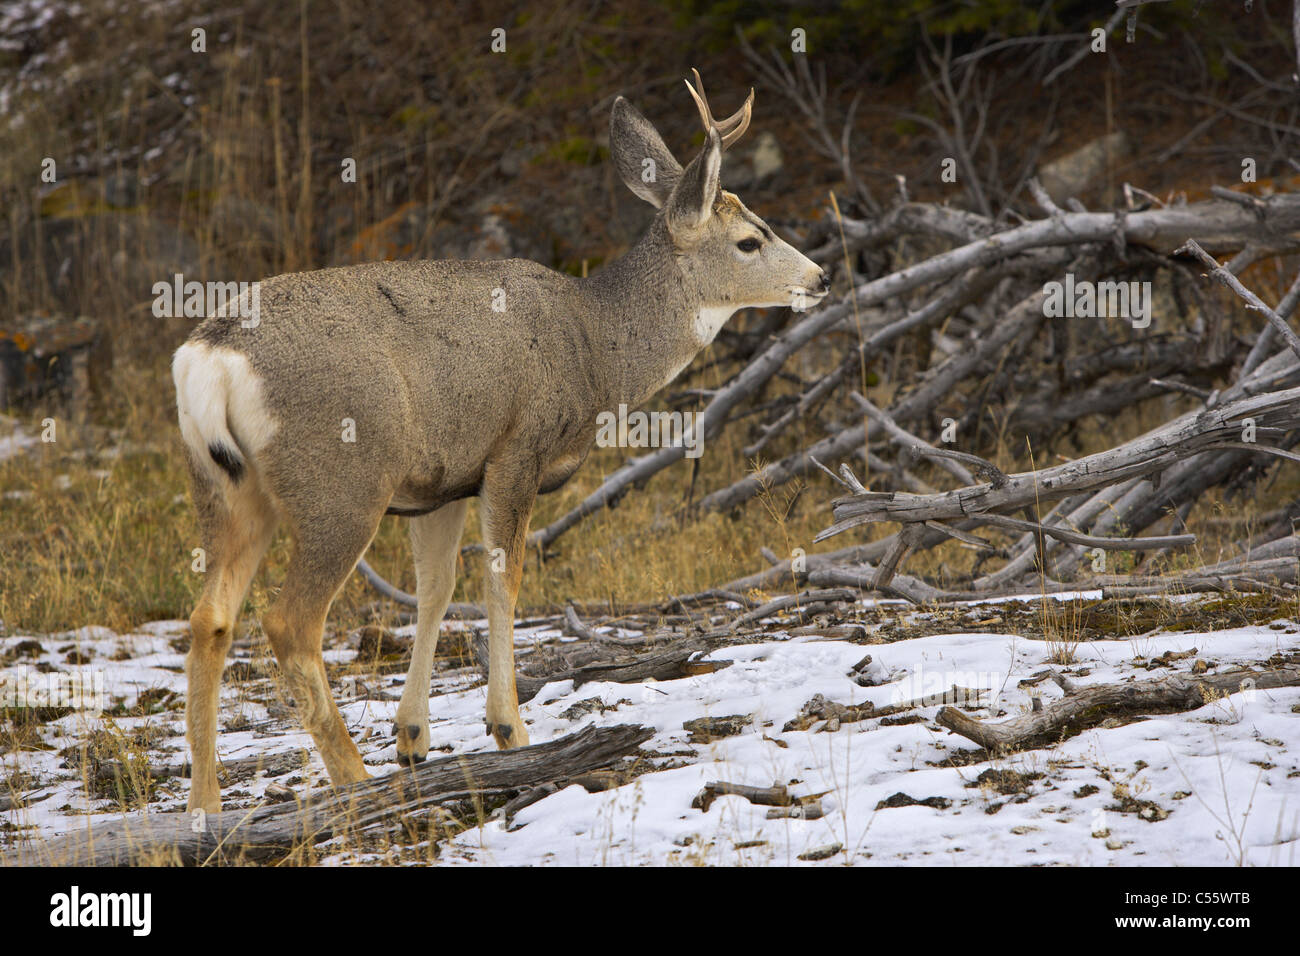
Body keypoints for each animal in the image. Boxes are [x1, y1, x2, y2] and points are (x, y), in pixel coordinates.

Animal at [171, 70, 829, 813]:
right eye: (749, 240)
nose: (820, 277)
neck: (595, 348)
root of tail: (210, 358)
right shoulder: (517, 449)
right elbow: (503, 578)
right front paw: (509, 727)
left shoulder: (441, 481)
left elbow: (435, 589)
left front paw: (414, 736)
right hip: (340, 483)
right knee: (289, 623)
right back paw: (355, 784)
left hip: (227, 486)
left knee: (208, 617)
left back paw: (205, 807)